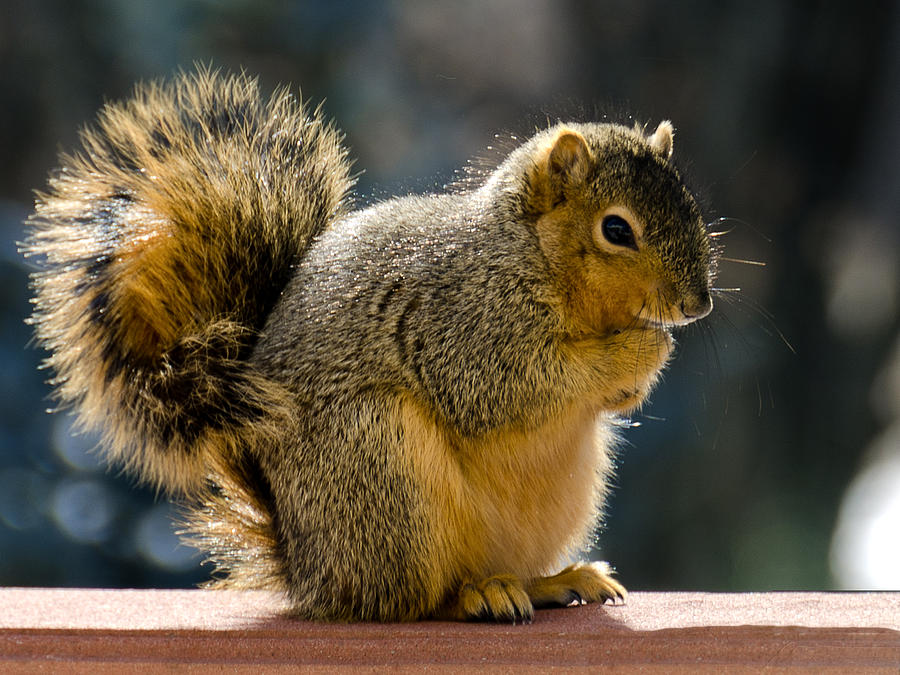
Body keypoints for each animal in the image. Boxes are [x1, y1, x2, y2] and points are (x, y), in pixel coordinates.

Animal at [22, 68, 714, 622]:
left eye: (691, 204)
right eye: (616, 230)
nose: (697, 306)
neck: (531, 258)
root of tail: (305, 566)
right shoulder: (461, 322)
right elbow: (502, 387)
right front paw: (642, 350)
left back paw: (555, 580)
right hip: (378, 465)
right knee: (408, 600)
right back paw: (474, 595)